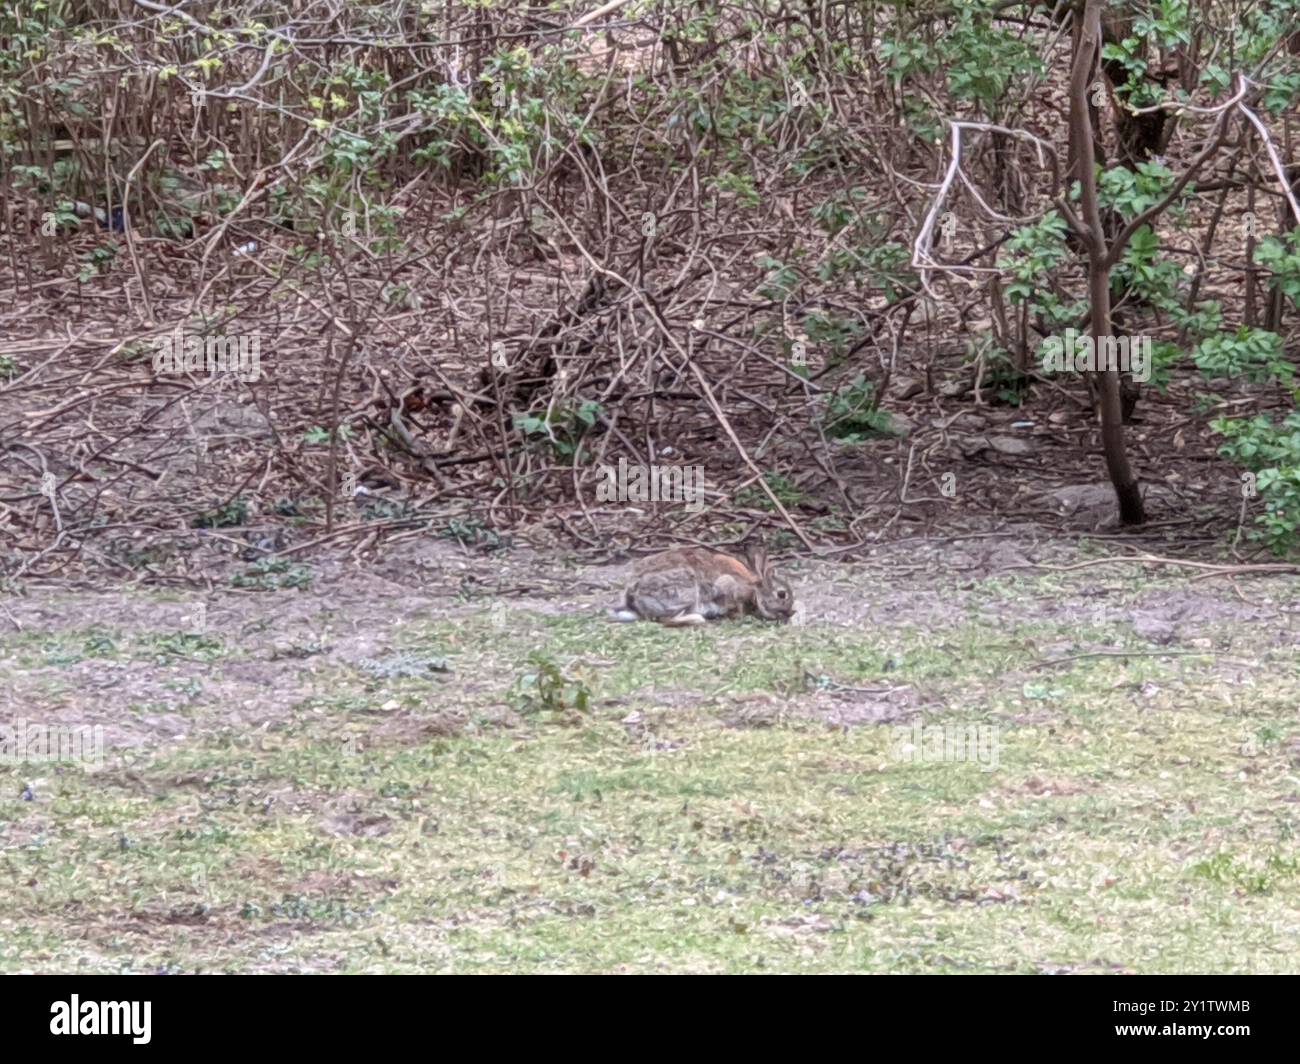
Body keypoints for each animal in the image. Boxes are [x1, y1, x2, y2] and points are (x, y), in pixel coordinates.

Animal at [610, 545, 795, 626]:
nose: (790, 613)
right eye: (781, 594)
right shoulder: (728, 586)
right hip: (685, 589)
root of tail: (632, 597)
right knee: (666, 619)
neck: (754, 587)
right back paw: (698, 618)